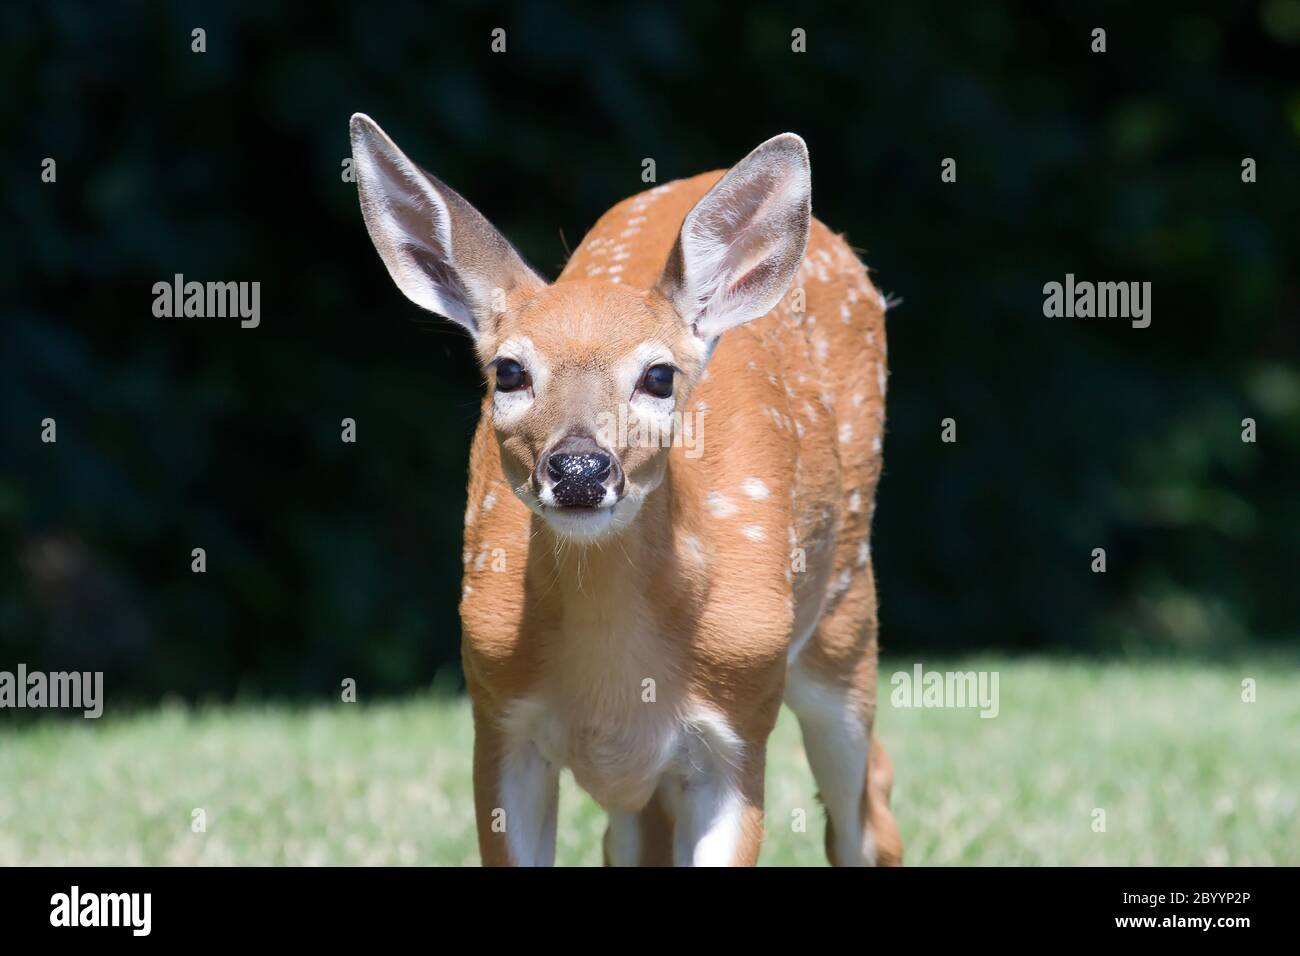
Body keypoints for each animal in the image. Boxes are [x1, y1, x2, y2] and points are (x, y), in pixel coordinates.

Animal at [349, 114, 901, 867]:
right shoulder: (497, 714)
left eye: (659, 376)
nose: (580, 469)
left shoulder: (740, 723)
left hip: (844, 615)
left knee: (868, 804)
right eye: (509, 370)